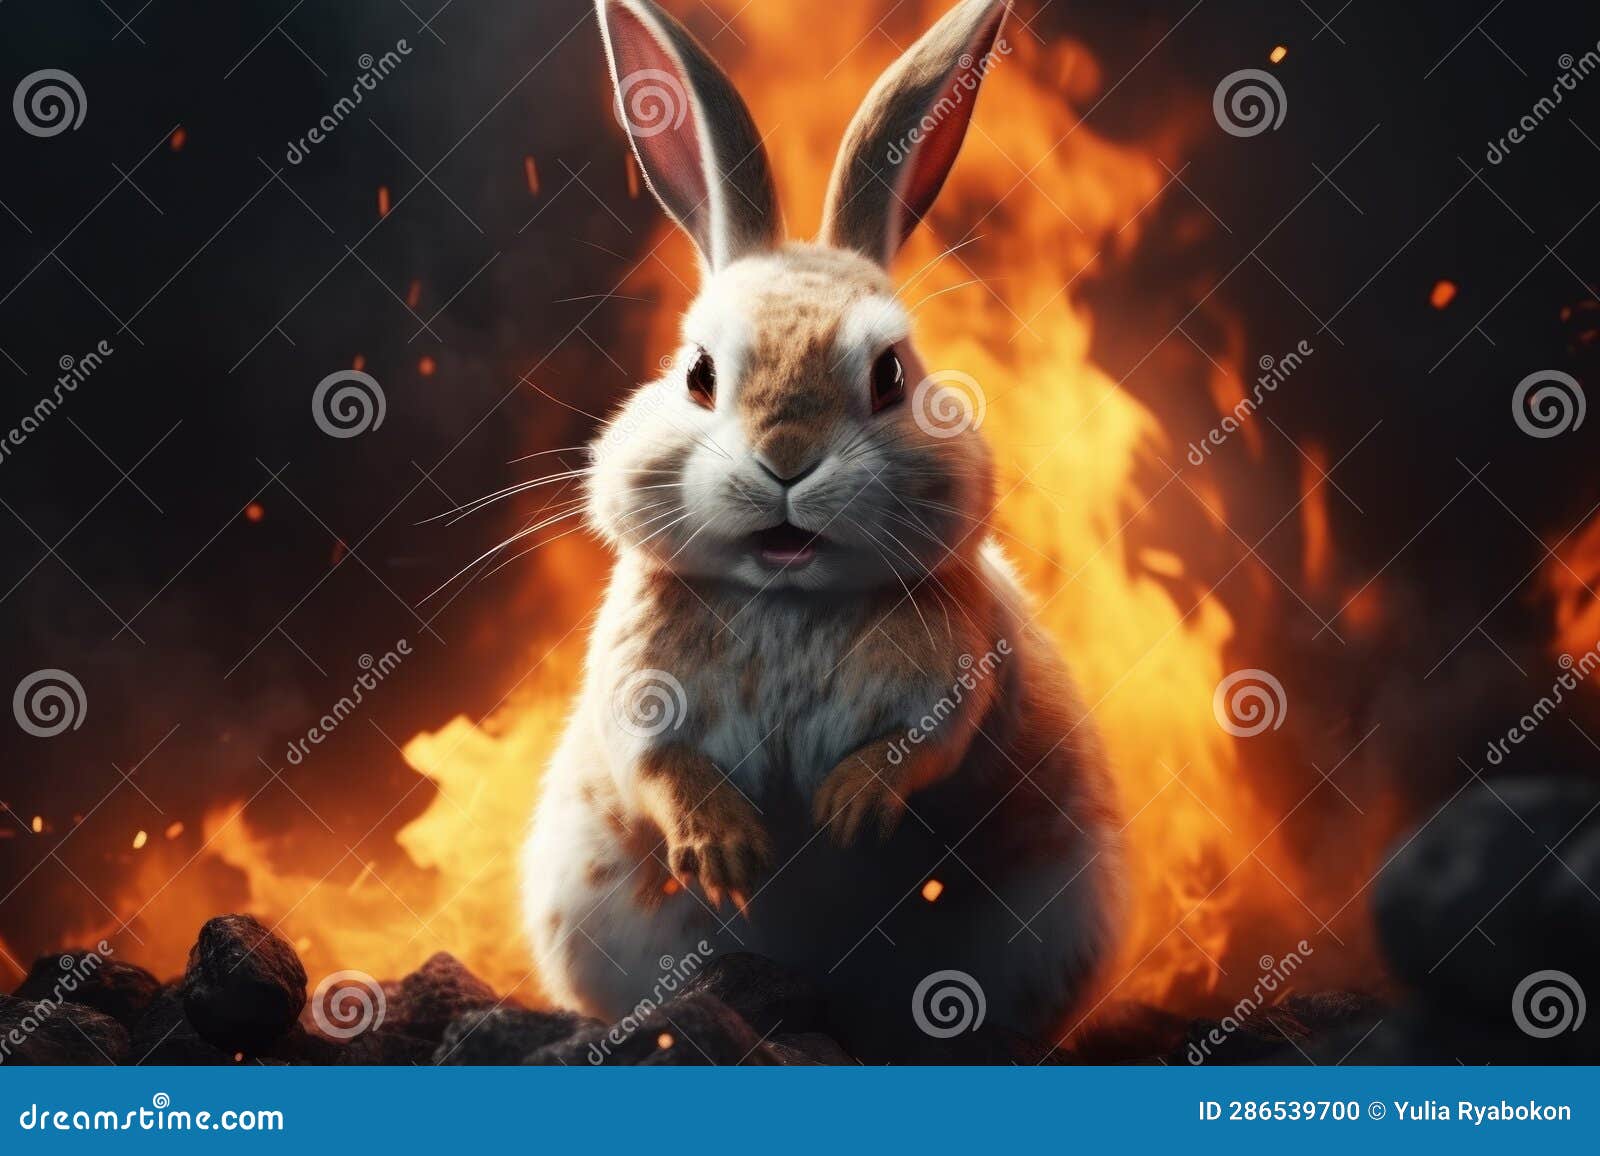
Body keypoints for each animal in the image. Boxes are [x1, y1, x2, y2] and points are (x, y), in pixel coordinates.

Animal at [521, 0, 1123, 1056]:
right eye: (698, 374)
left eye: (891, 376)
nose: (787, 460)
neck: (788, 597)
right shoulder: (637, 683)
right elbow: (658, 765)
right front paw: (726, 851)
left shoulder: (953, 668)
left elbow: (923, 742)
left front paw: (847, 811)